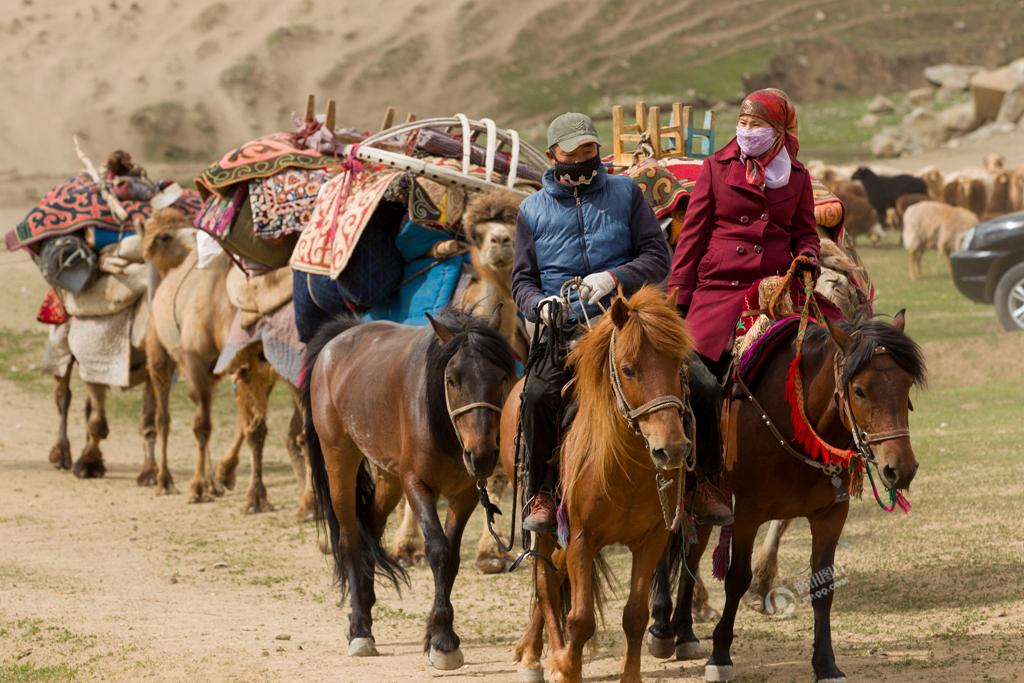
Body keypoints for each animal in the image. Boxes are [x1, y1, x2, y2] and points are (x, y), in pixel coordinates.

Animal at [301, 307, 512, 671]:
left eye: (500, 377)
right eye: (452, 379)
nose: (482, 454)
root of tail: (340, 338)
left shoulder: (466, 494)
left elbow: (453, 557)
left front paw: (439, 634)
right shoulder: (417, 483)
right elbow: (438, 550)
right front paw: (442, 642)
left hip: (389, 475)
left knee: (370, 528)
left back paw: (364, 608)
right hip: (340, 461)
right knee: (349, 540)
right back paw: (360, 630)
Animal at [503, 288, 696, 683]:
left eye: (678, 364)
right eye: (628, 368)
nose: (672, 448)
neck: (621, 466)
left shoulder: (652, 539)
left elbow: (635, 616)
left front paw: (629, 676)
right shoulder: (581, 537)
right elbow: (580, 620)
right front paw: (566, 667)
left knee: (553, 574)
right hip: (542, 522)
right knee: (545, 581)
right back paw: (541, 657)